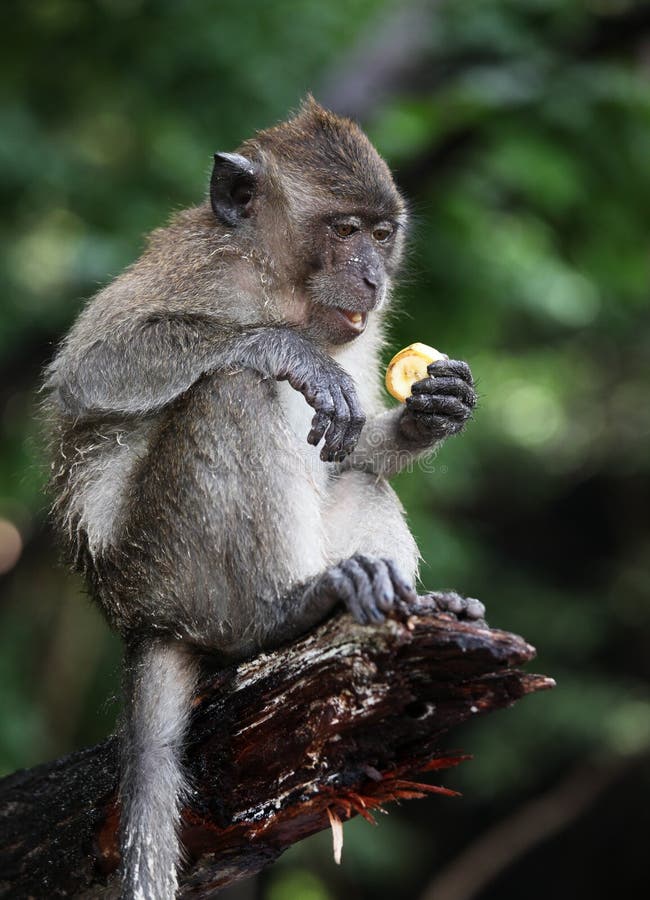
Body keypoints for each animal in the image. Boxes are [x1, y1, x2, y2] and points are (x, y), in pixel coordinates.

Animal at [43, 98, 481, 899]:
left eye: (381, 234)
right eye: (342, 231)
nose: (373, 279)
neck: (281, 288)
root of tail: (134, 614)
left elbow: (351, 453)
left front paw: (429, 414)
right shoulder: (198, 269)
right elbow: (94, 369)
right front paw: (284, 350)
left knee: (359, 478)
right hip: (171, 563)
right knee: (233, 393)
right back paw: (287, 609)